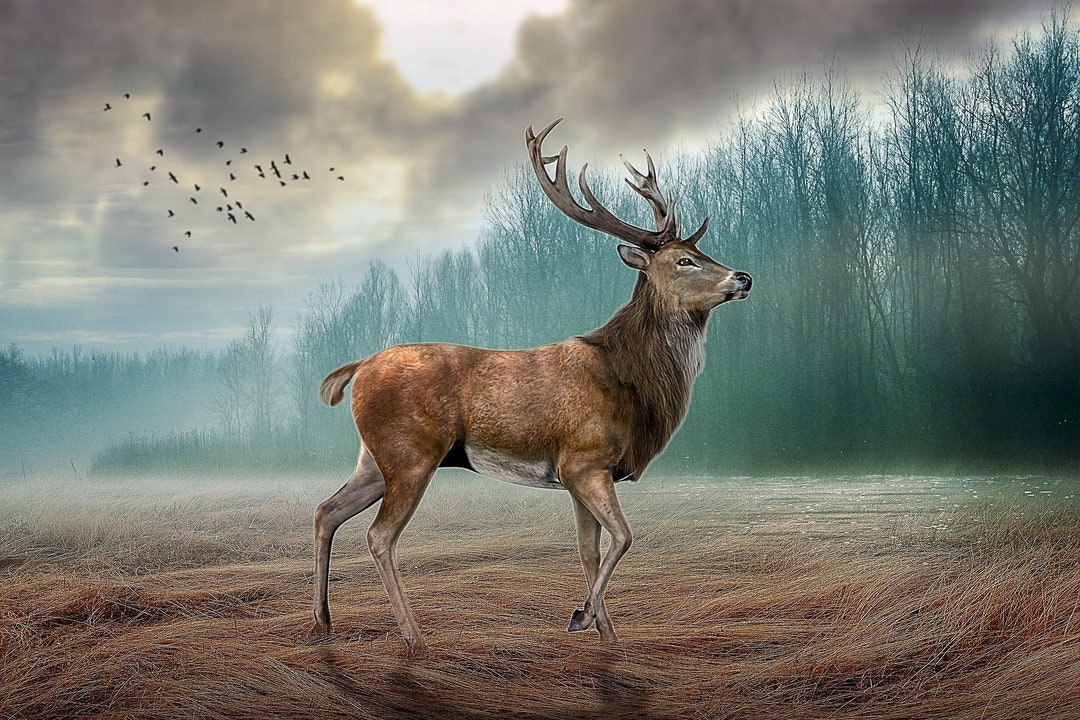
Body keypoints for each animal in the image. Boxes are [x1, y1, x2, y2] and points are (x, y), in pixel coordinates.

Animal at [312, 118, 752, 650]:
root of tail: (357, 368)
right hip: (410, 452)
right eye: (684, 260)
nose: (744, 277)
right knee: (378, 536)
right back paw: (415, 639)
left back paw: (323, 621)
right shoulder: (584, 459)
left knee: (326, 510)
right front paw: (582, 616)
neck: (631, 383)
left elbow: (589, 549)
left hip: (375, 458)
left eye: (701, 250)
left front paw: (606, 633)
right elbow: (624, 537)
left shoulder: (581, 475)